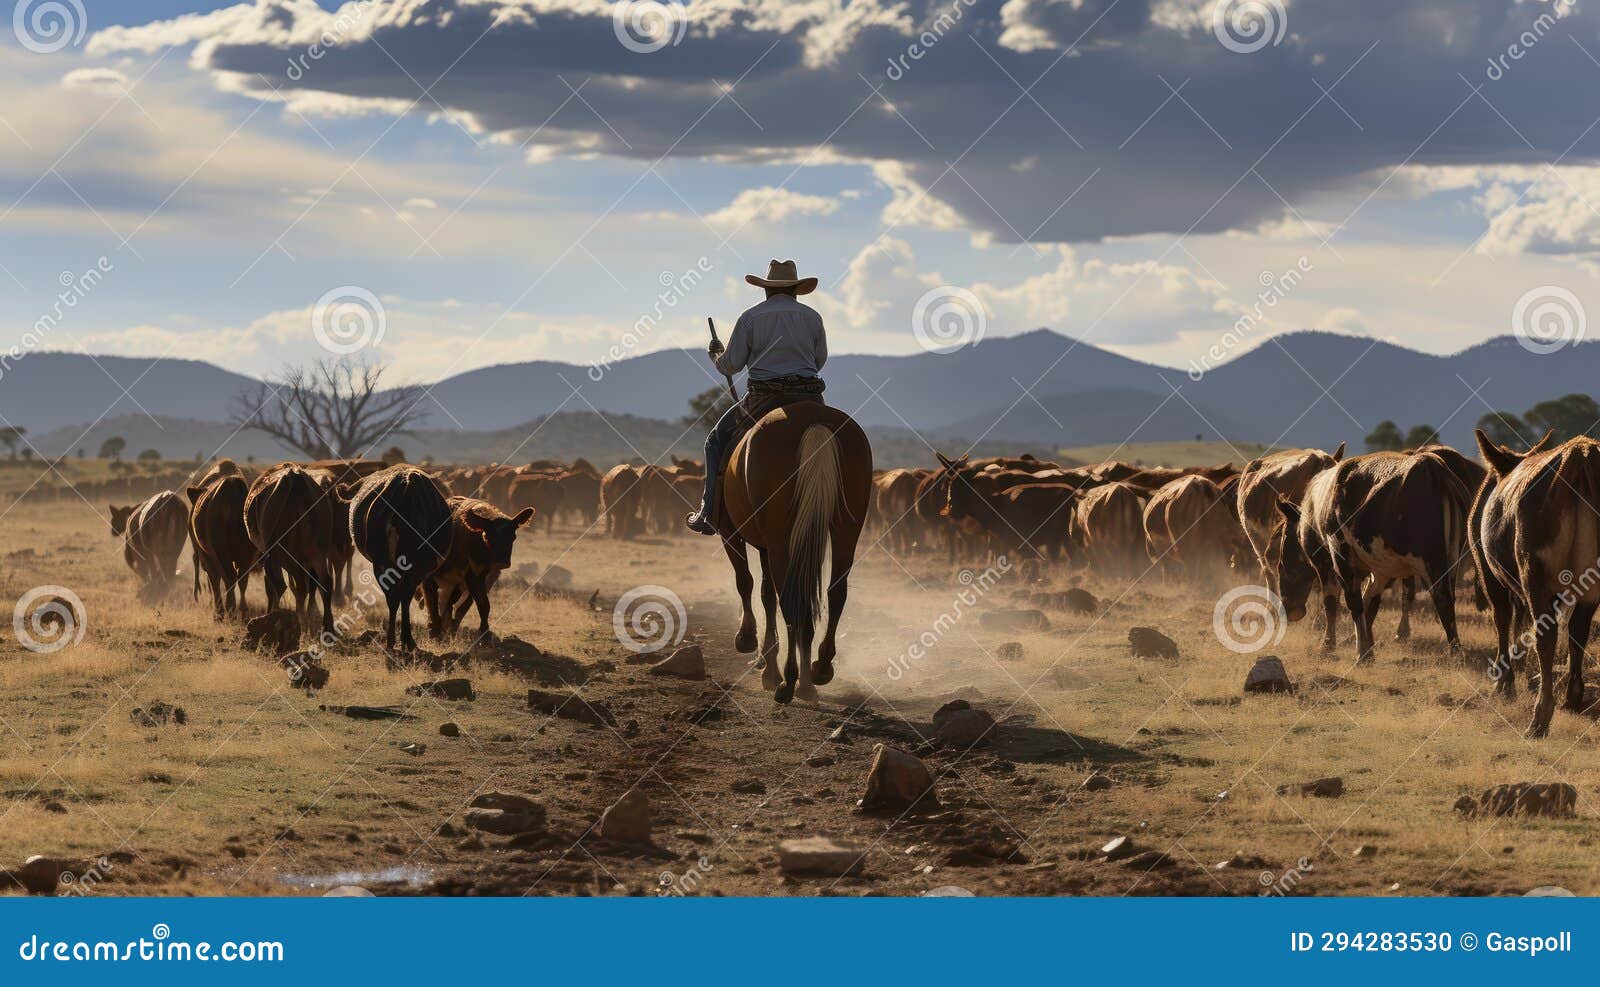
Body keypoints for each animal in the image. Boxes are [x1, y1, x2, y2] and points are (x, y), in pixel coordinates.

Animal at [186, 475, 256, 617]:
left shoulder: (207, 556)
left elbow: (215, 579)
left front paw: (218, 613)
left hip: (221, 552)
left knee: (229, 576)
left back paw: (230, 609)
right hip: (244, 553)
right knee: (242, 577)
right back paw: (243, 611)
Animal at [244, 465, 338, 639]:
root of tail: (294, 477)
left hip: (279, 554)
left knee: (281, 584)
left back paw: (277, 619)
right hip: (317, 553)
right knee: (324, 583)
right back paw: (327, 628)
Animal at [341, 465, 455, 652]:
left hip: (386, 564)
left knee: (396, 596)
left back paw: (394, 640)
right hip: (393, 564)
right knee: (399, 596)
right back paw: (402, 640)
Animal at [422, 496, 535, 637]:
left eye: (513, 536)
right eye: (487, 536)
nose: (501, 562)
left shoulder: (480, 574)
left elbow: (482, 604)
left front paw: (484, 632)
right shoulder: (471, 575)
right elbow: (481, 602)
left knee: (449, 603)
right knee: (430, 594)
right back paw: (434, 629)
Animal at [1269, 450, 1472, 665]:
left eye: (1284, 538)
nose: (1288, 607)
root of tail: (1434, 470)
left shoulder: (1336, 558)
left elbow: (1342, 602)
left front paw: (1340, 647)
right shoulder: (1380, 568)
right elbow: (1370, 603)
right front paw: (1367, 647)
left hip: (1432, 563)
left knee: (1442, 599)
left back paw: (1456, 653)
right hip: (1450, 563)